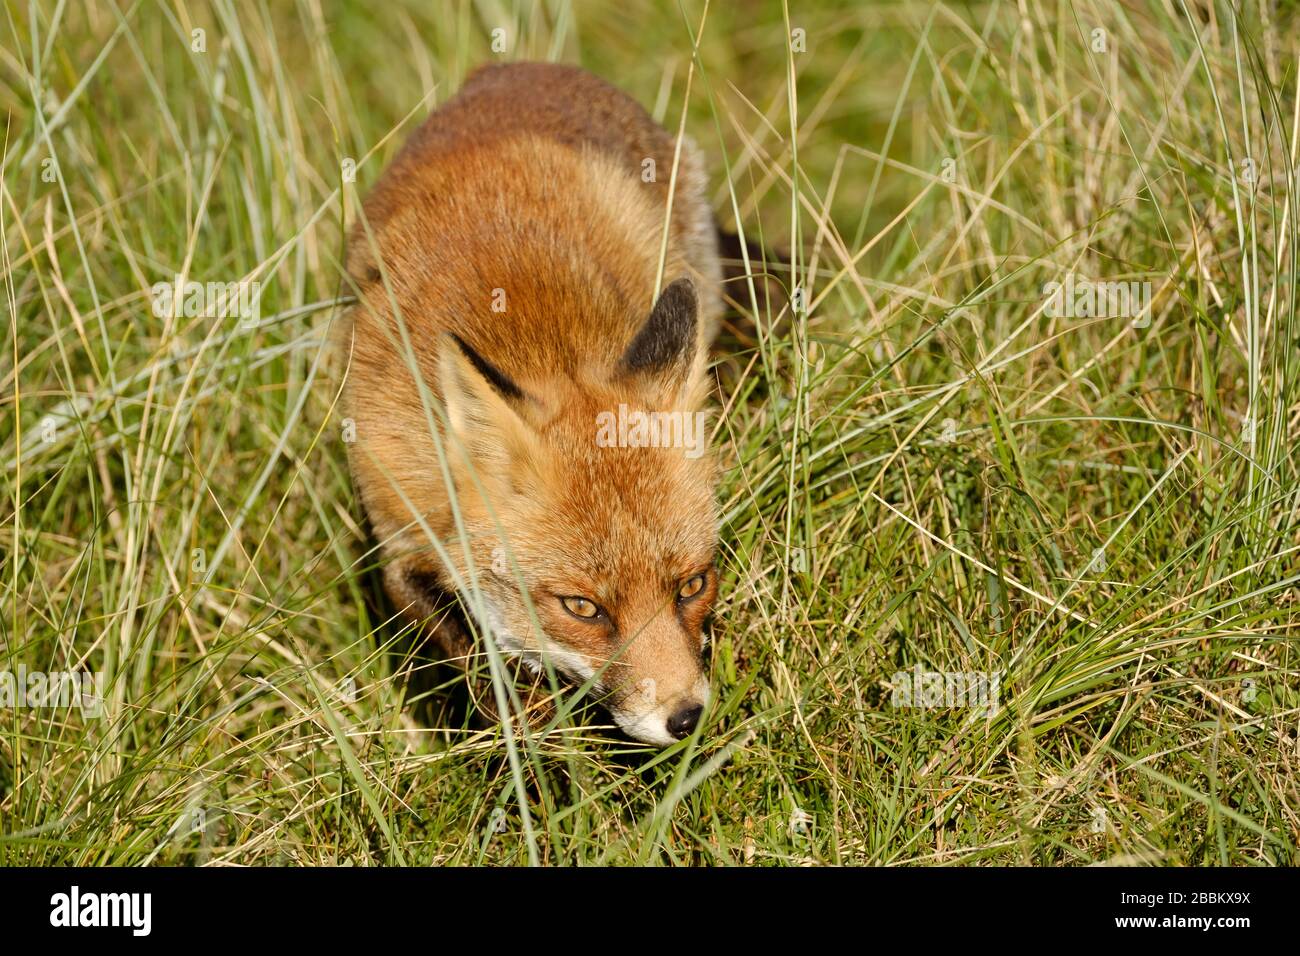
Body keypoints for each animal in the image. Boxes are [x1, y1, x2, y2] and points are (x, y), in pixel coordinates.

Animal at [342, 62, 724, 746]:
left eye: (692, 585)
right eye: (583, 607)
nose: (686, 718)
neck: (535, 335)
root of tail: (514, 69)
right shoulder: (401, 527)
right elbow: (483, 672)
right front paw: (533, 757)